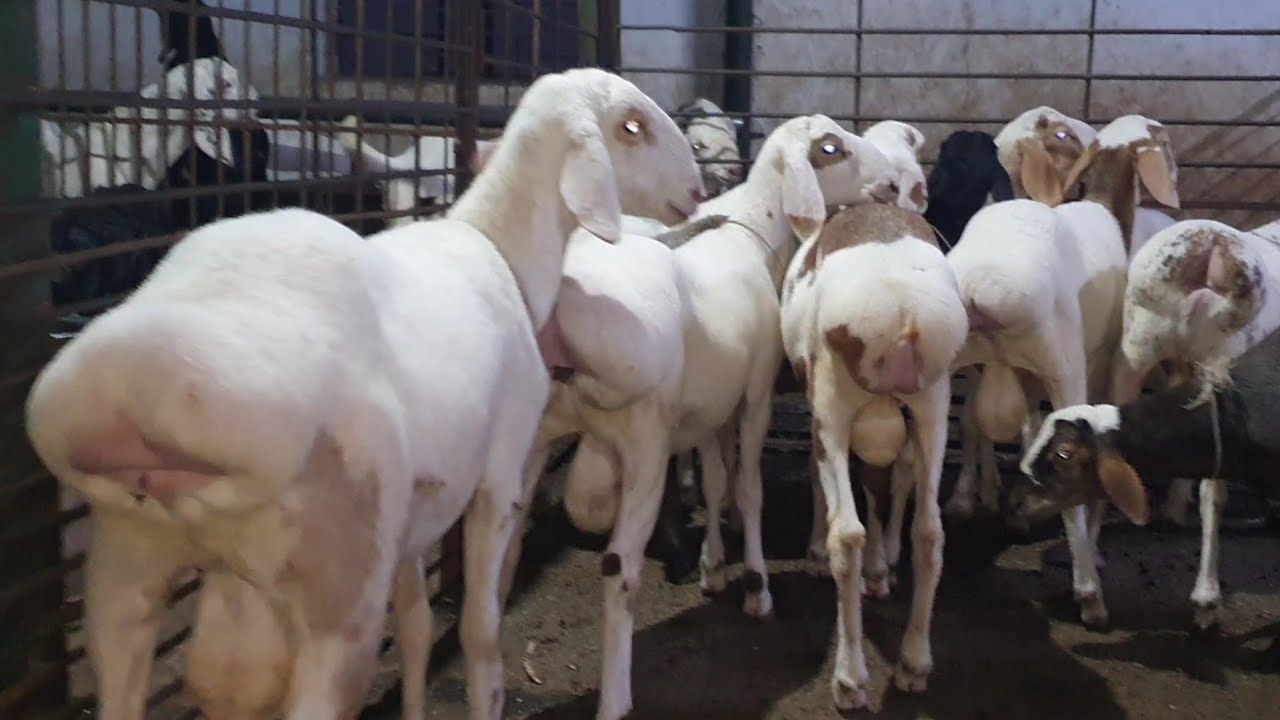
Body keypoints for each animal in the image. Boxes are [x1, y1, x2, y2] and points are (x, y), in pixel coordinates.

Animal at [26, 68, 703, 720]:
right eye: (632, 126)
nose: (697, 190)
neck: (501, 249)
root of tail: (138, 393)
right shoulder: (499, 477)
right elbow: (480, 633)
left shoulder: (415, 520)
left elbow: (417, 626)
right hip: (340, 592)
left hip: (124, 572)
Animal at [561, 115, 900, 630]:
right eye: (830, 148)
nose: (894, 184)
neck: (753, 234)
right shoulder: (755, 394)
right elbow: (747, 487)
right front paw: (756, 586)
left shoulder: (712, 402)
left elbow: (717, 482)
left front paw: (715, 565)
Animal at [781, 202, 967, 708]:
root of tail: (904, 312)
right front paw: (882, 572)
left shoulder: (825, 421)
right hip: (932, 410)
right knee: (929, 532)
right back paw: (913, 664)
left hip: (833, 410)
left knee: (847, 536)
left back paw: (849, 680)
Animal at [947, 114, 1182, 629]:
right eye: (1061, 135)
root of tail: (978, 291)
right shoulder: (1100, 364)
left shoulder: (1027, 383)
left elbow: (1027, 439)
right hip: (1064, 364)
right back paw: (1089, 593)